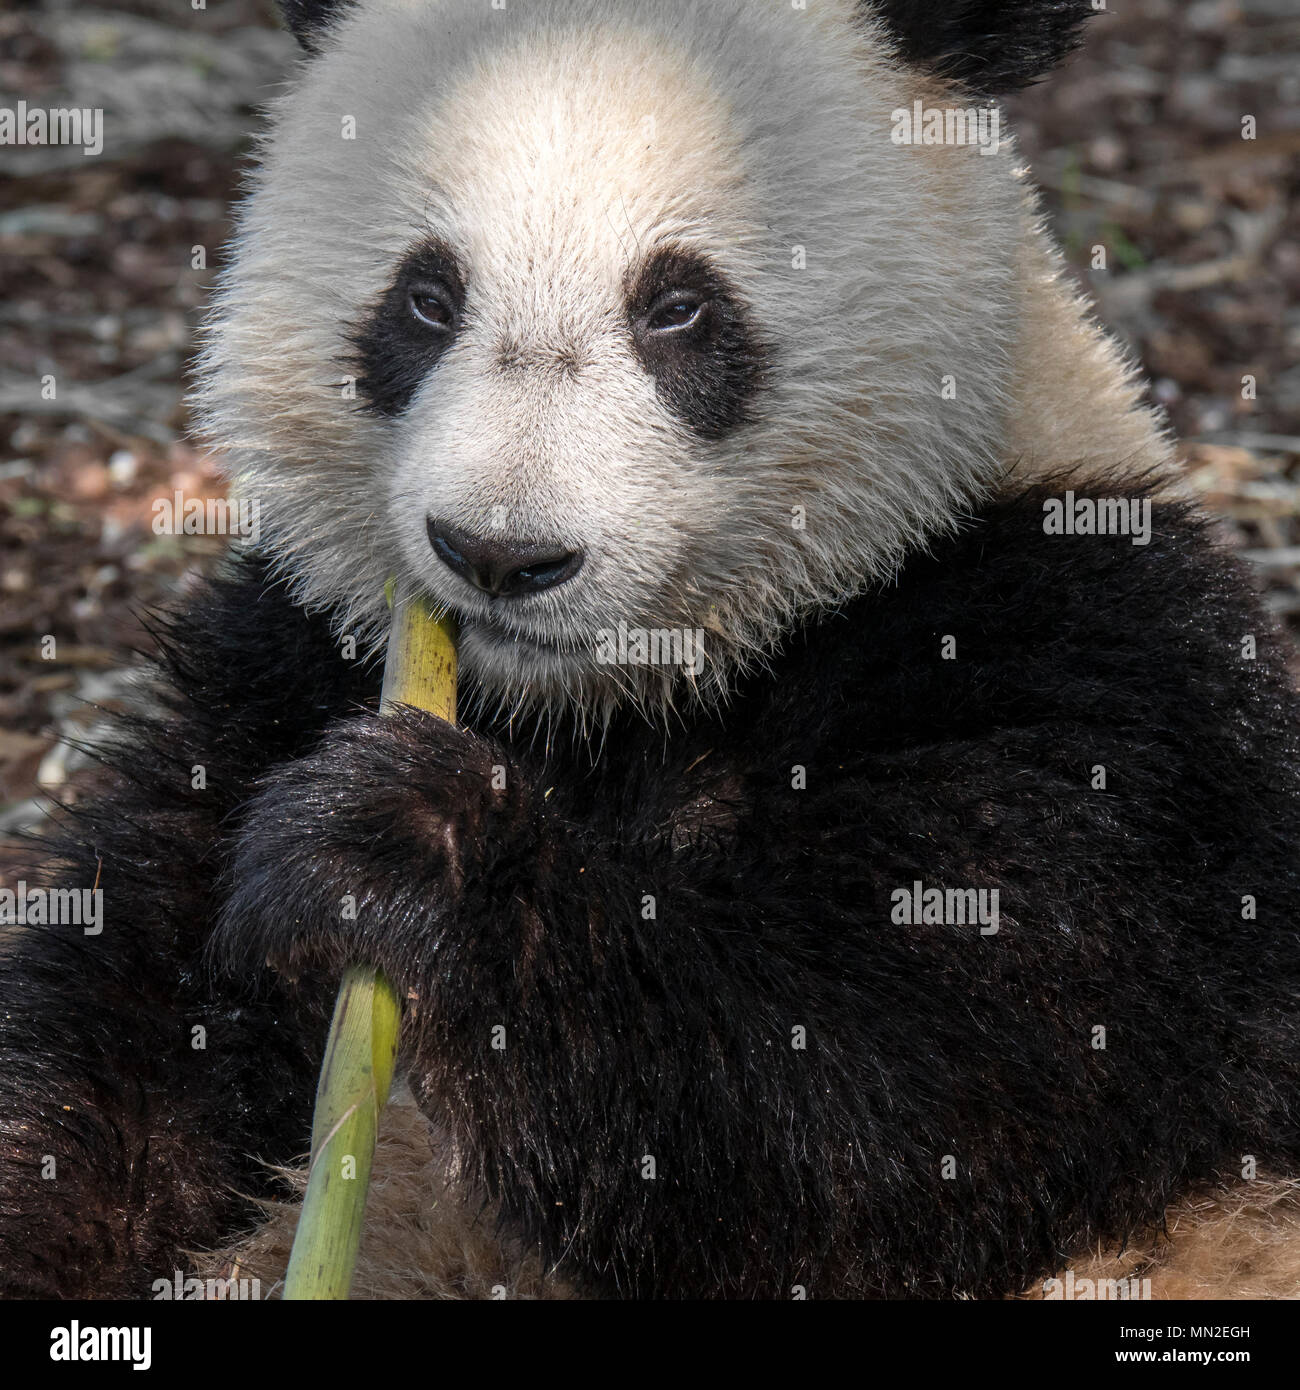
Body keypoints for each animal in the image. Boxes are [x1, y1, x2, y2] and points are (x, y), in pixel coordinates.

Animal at [2, 0, 1299, 1301]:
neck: (602, 705)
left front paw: (405, 846)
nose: (499, 553)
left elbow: (887, 1099)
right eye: (427, 298)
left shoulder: (1081, 664)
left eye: (676, 306)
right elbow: (135, 1034)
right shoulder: (286, 659)